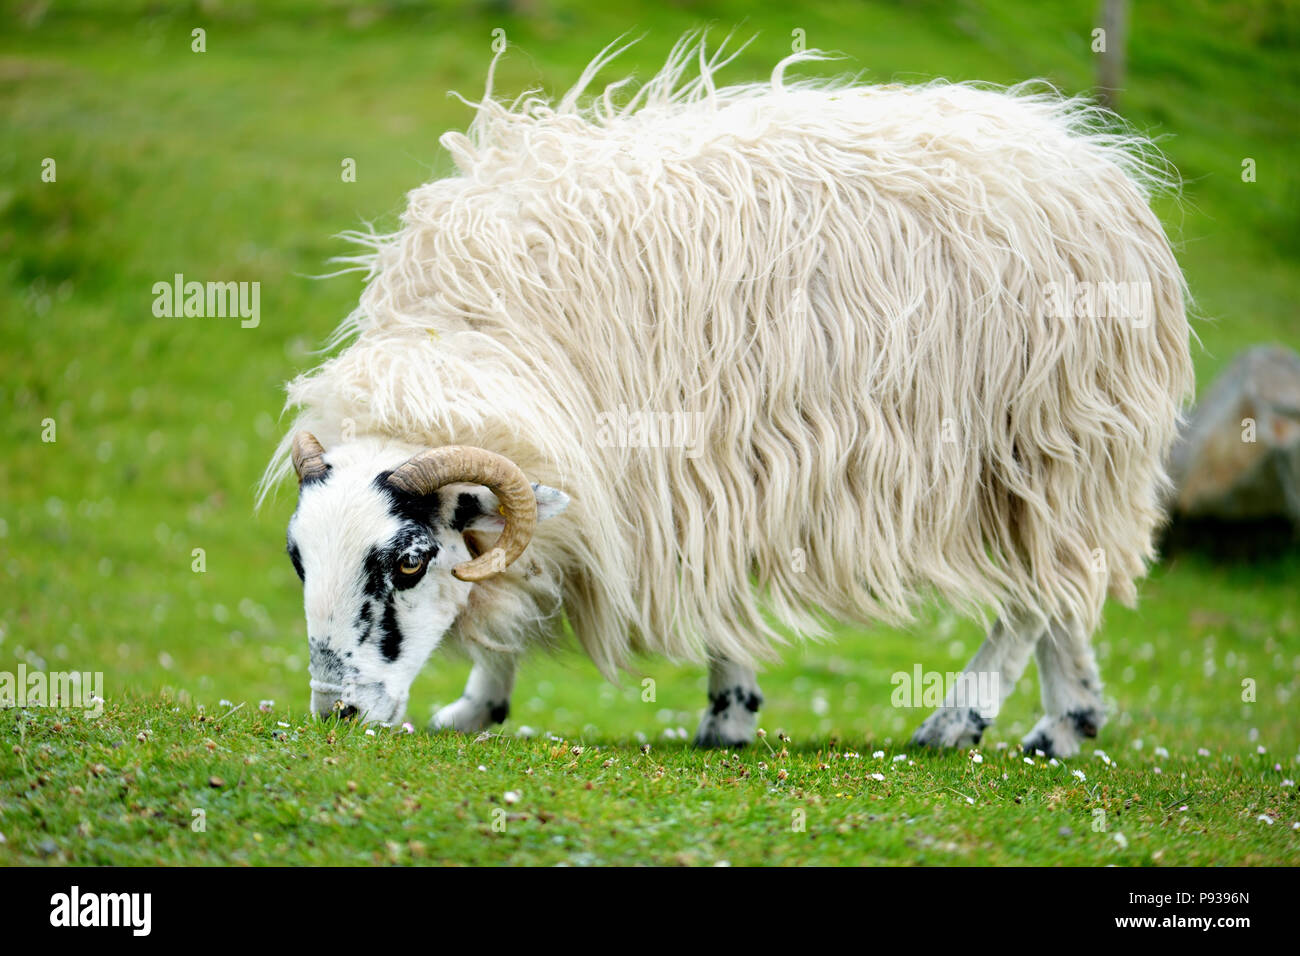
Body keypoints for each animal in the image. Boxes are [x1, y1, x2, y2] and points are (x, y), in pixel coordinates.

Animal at [262, 37, 1194, 755]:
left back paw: (959, 720)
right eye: (299, 557)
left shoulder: (684, 467)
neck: (477, 336)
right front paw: (480, 704)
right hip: (1067, 444)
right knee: (1071, 576)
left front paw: (727, 714)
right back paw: (1068, 723)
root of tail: (1097, 163)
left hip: (1044, 427)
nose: (337, 715)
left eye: (408, 561)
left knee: (1038, 593)